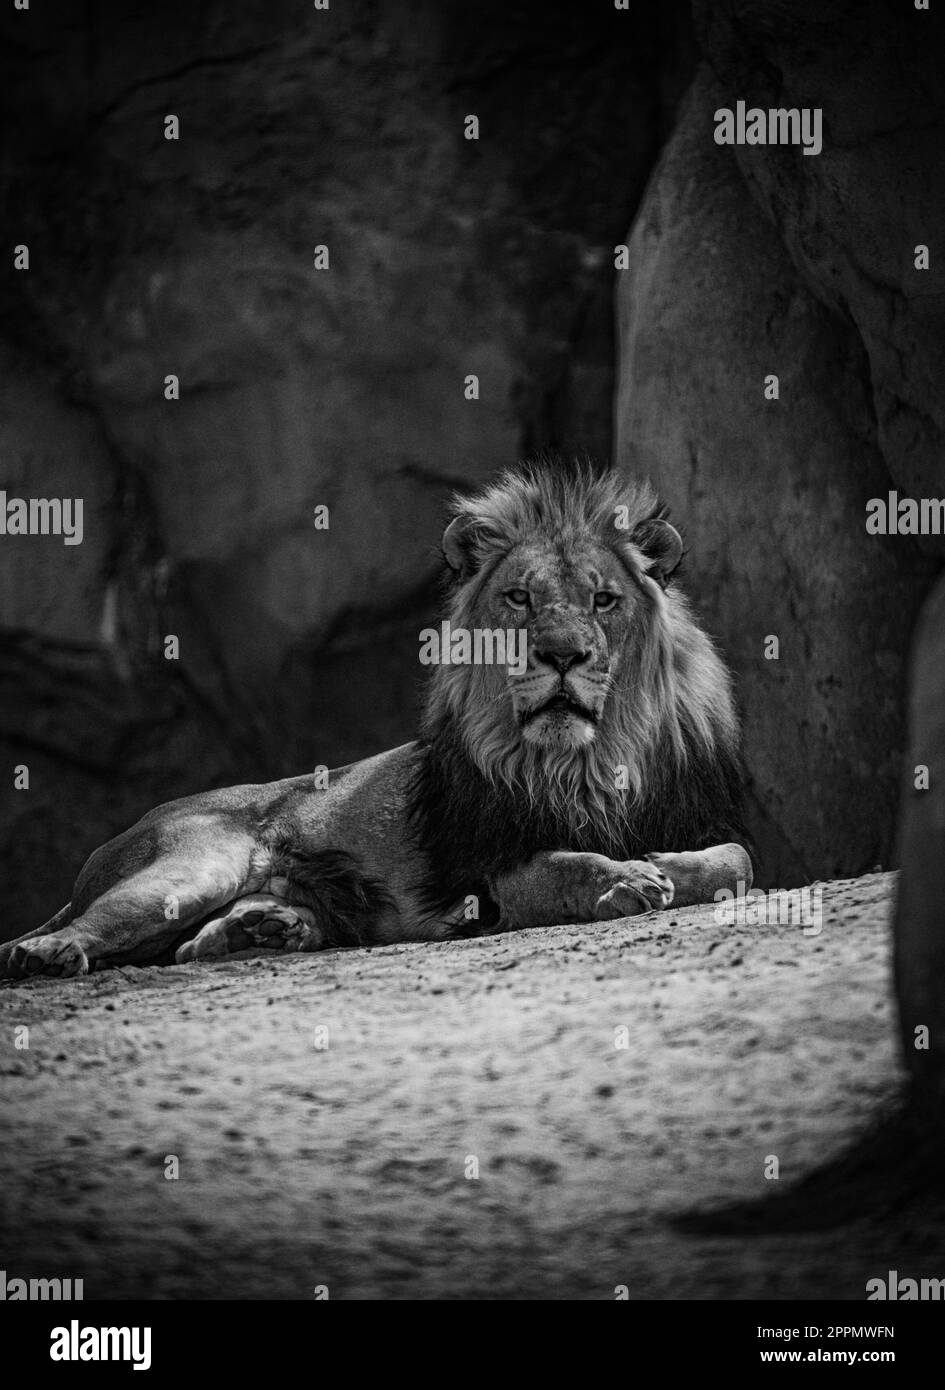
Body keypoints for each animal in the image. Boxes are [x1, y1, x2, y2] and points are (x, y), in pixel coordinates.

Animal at [0, 456, 752, 980]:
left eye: (602, 600)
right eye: (518, 598)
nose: (562, 654)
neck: (586, 759)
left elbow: (736, 861)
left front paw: (661, 863)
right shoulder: (484, 876)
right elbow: (562, 864)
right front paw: (626, 878)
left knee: (185, 950)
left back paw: (264, 929)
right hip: (188, 868)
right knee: (90, 930)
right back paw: (49, 952)